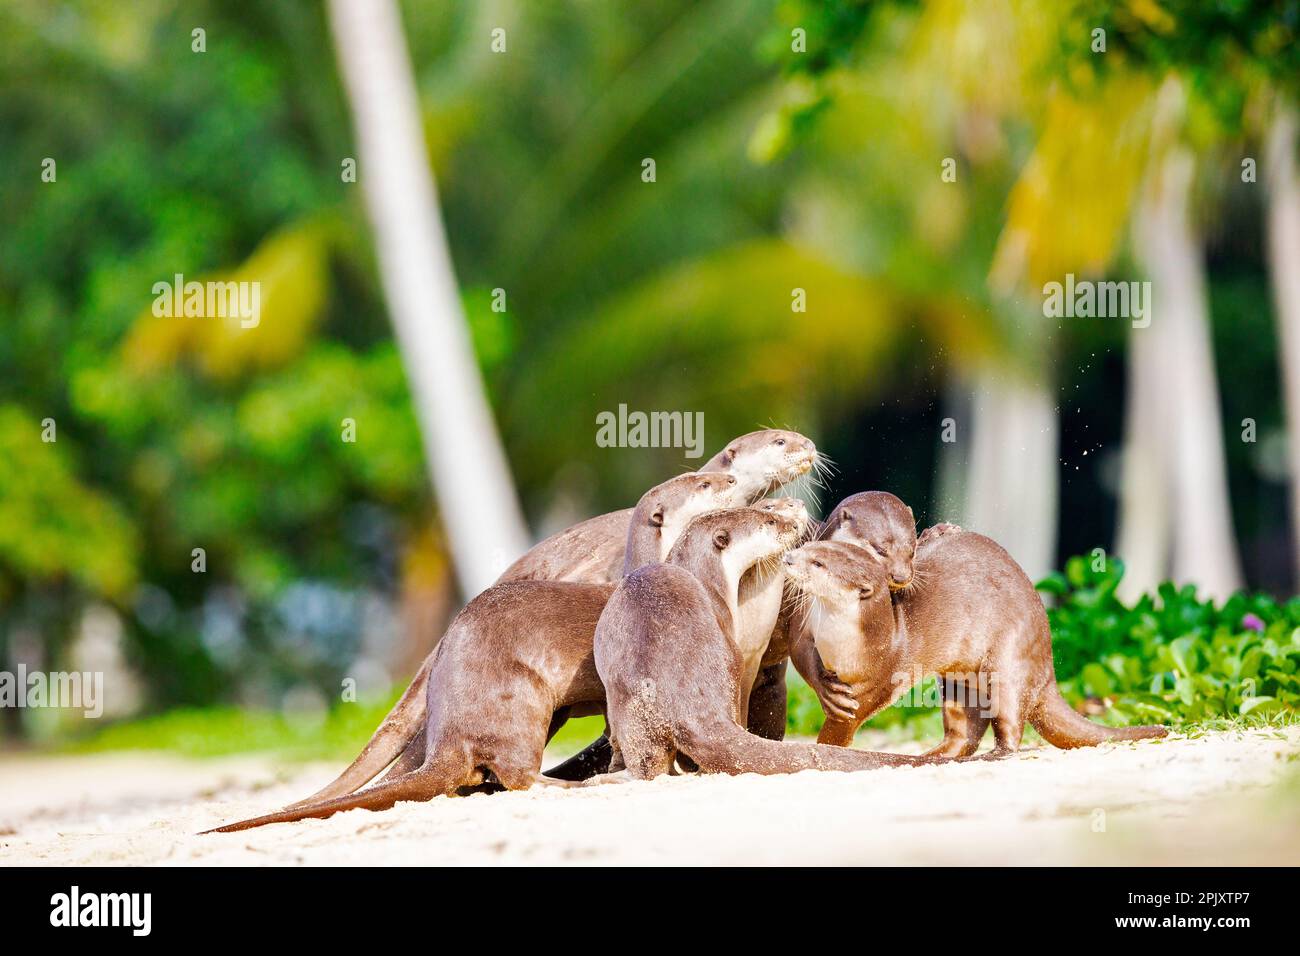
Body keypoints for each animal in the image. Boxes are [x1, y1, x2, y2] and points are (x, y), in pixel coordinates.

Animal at [782, 534, 1169, 758]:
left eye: (818, 563)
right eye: (809, 548)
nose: (788, 558)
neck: (848, 644)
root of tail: (1047, 671)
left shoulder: (878, 677)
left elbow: (847, 719)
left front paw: (825, 747)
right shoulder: (812, 634)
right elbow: (801, 652)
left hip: (1011, 658)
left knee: (1010, 717)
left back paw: (997, 752)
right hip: (958, 683)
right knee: (963, 733)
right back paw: (929, 756)